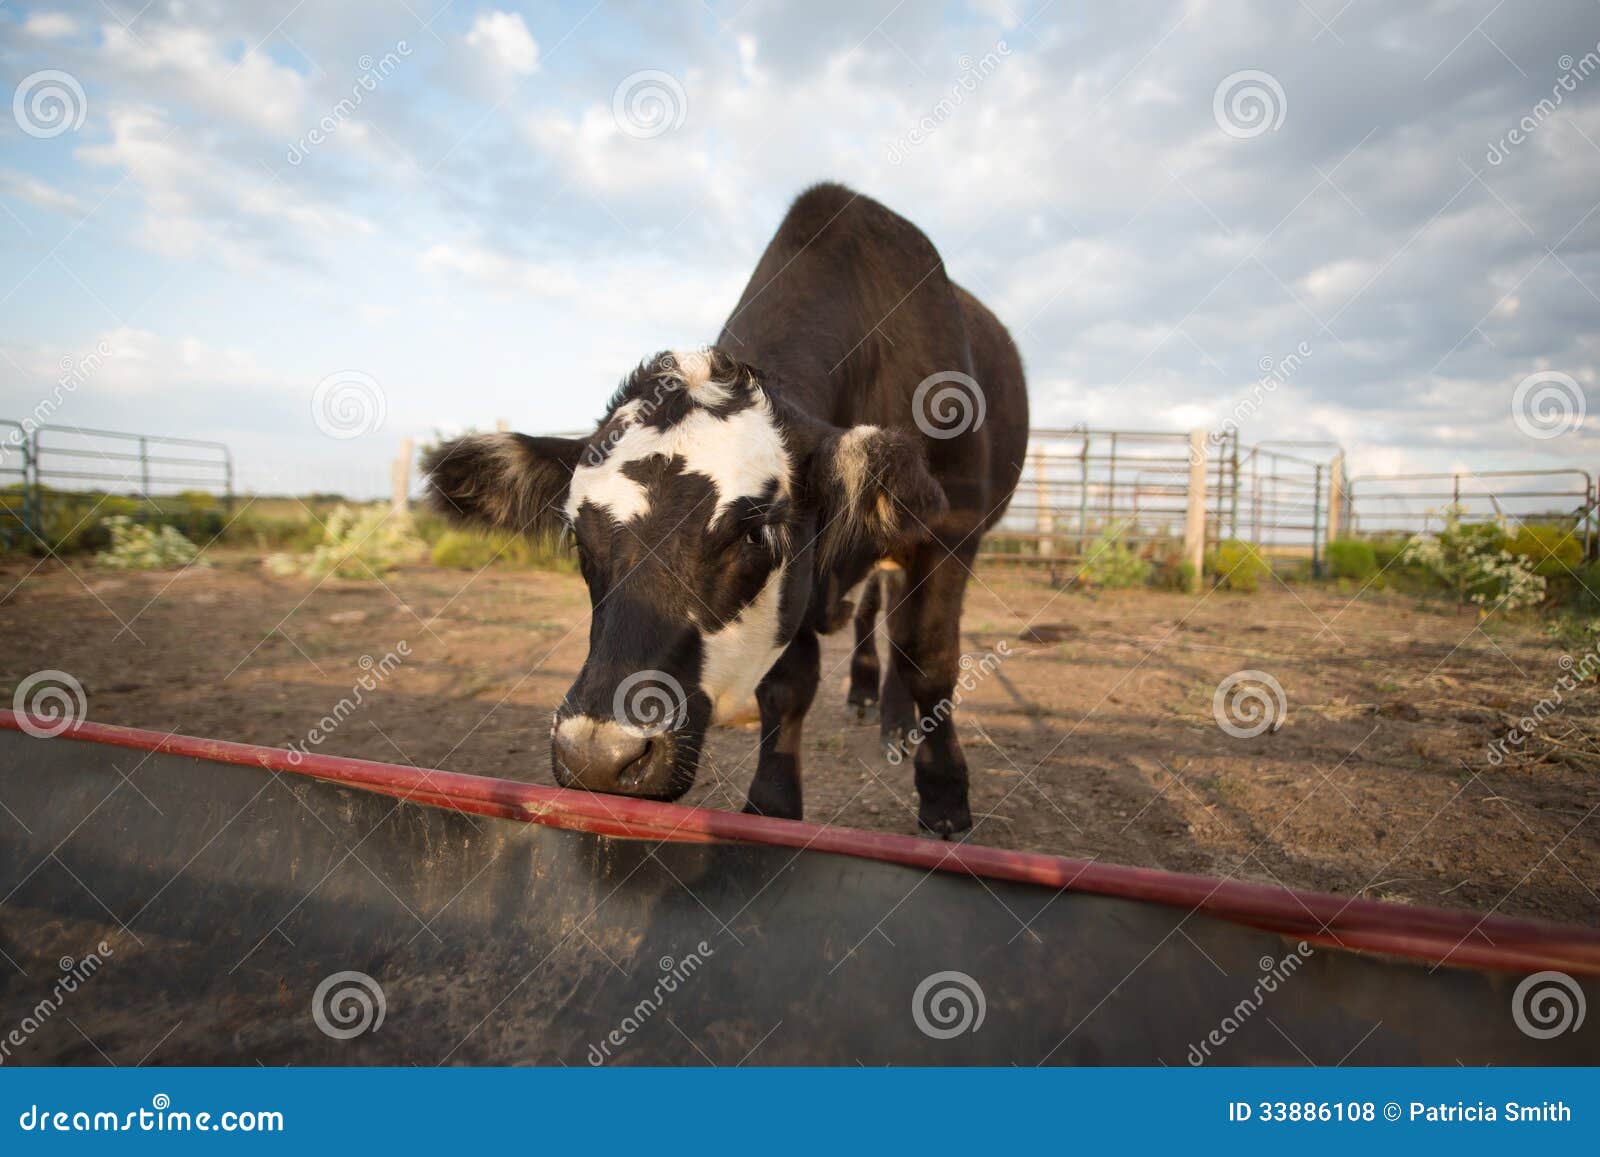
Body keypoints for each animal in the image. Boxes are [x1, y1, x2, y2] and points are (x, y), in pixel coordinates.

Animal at [423, 182, 1027, 835]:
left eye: (756, 535)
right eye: (580, 539)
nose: (598, 756)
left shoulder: (951, 530)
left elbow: (929, 659)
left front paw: (945, 796)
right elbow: (787, 684)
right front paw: (773, 804)